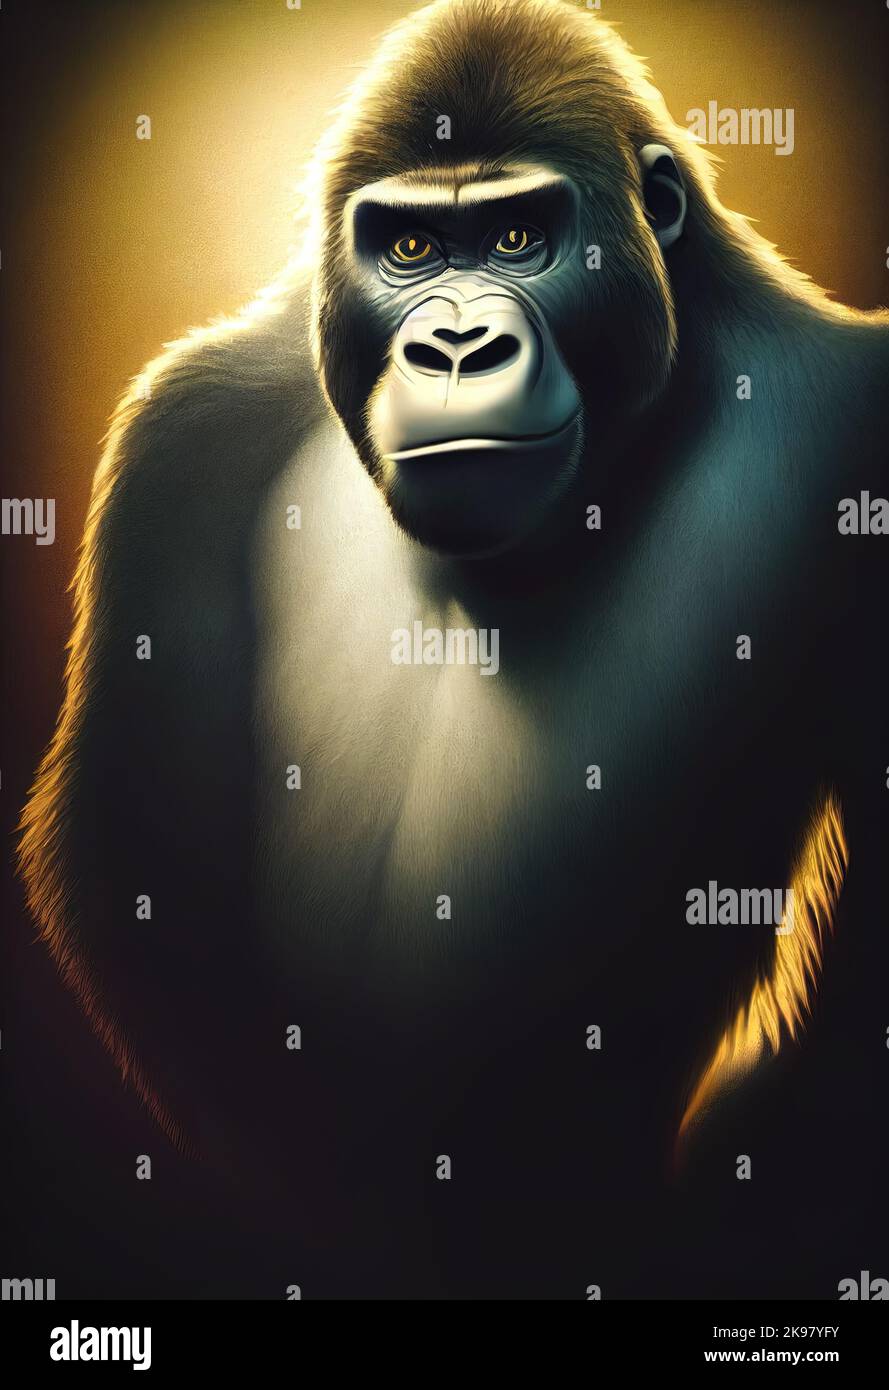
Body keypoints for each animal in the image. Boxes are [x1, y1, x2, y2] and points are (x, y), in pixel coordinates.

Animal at [18, 0, 888, 1297]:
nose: (459, 347)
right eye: (413, 250)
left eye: (521, 236)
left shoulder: (850, 417)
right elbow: (142, 872)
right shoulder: (188, 424)